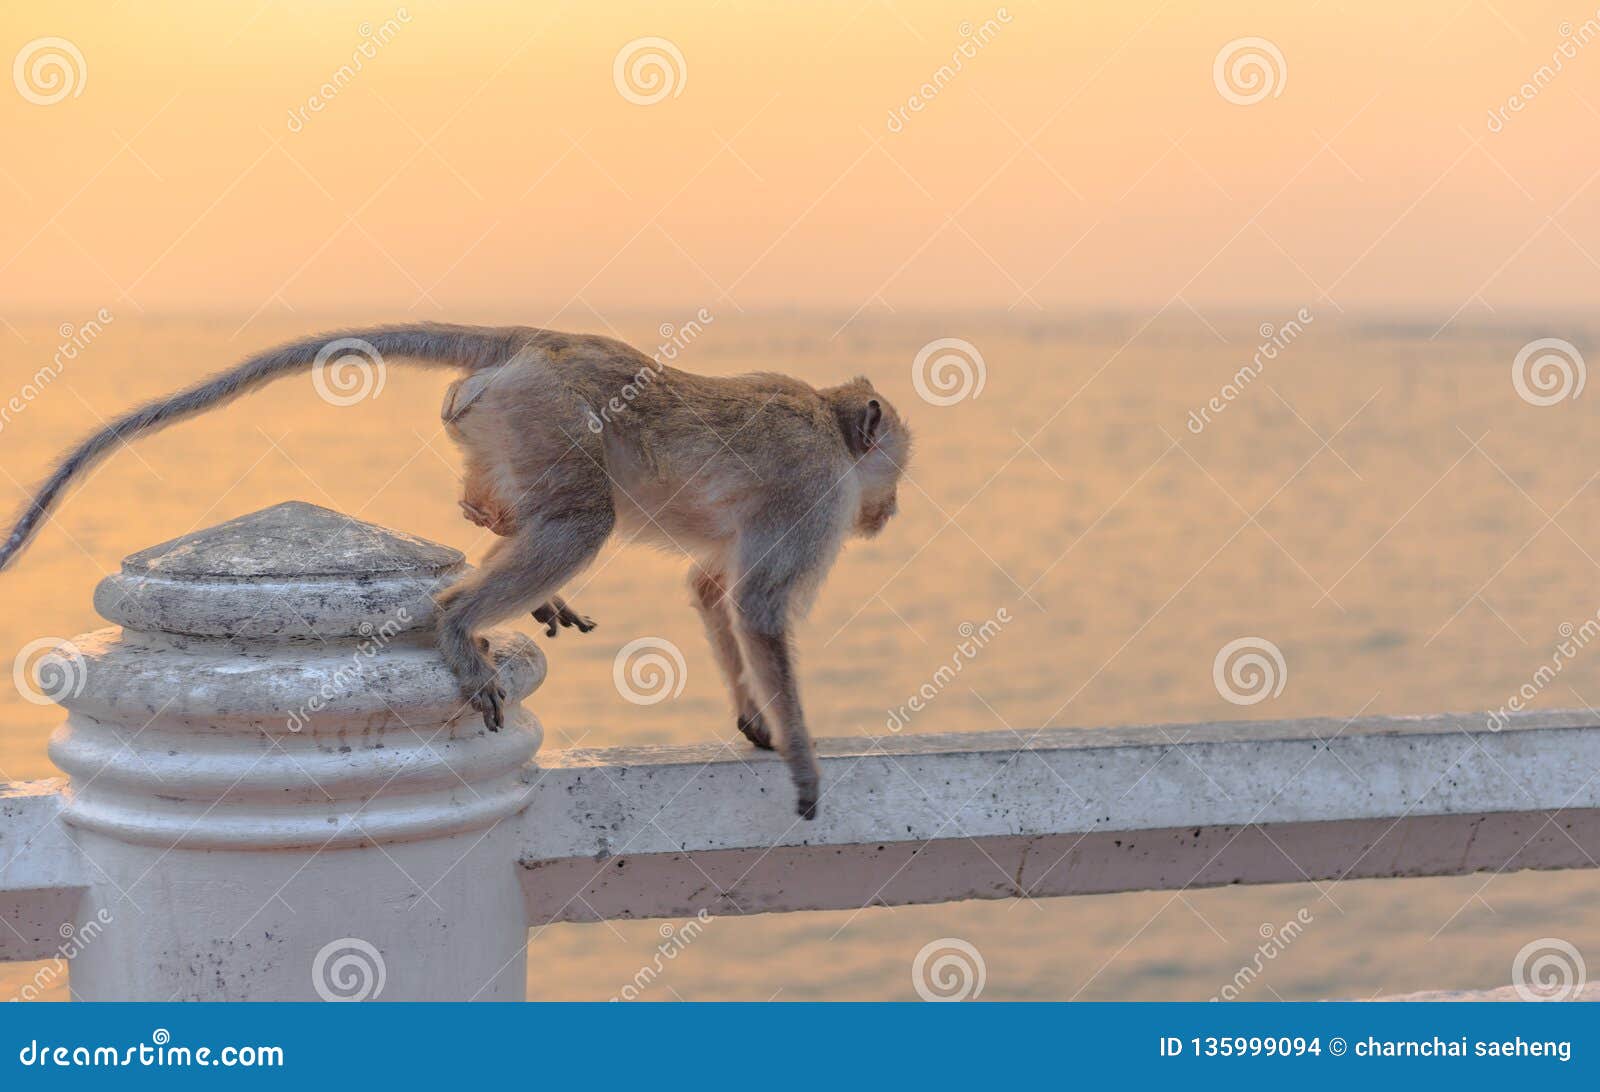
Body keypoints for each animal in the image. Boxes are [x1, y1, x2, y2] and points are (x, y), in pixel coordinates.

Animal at [0, 323, 911, 819]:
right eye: (893, 476)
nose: (890, 514)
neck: (829, 423)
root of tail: (538, 341)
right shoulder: (815, 492)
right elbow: (755, 606)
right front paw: (802, 758)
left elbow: (715, 591)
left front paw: (757, 720)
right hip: (546, 415)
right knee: (584, 520)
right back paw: (457, 621)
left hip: (501, 420)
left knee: (519, 509)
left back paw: (496, 538)